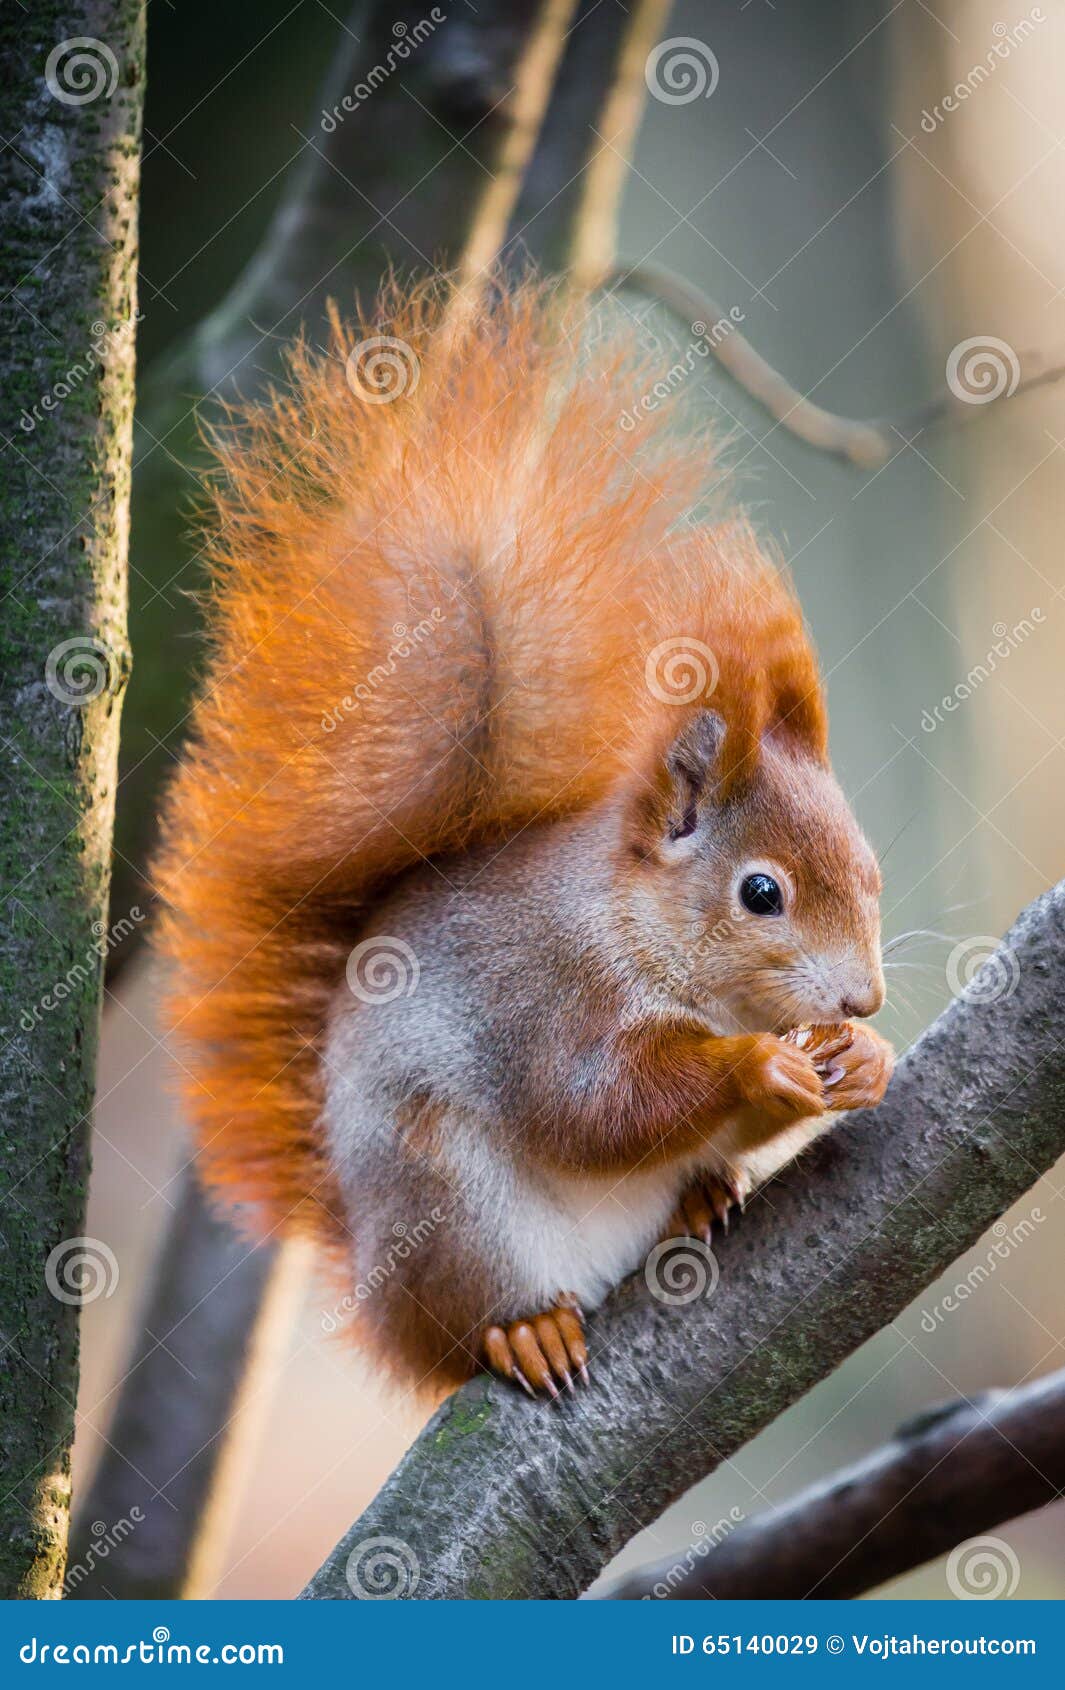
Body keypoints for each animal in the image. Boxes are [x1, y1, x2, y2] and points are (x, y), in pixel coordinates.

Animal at [154, 277, 894, 1401]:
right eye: (760, 893)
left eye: (871, 872)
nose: (862, 999)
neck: (632, 925)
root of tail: (378, 1291)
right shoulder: (546, 1001)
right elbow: (591, 1106)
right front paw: (757, 1066)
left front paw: (866, 1059)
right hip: (449, 1207)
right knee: (471, 1324)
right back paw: (525, 1331)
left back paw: (698, 1196)